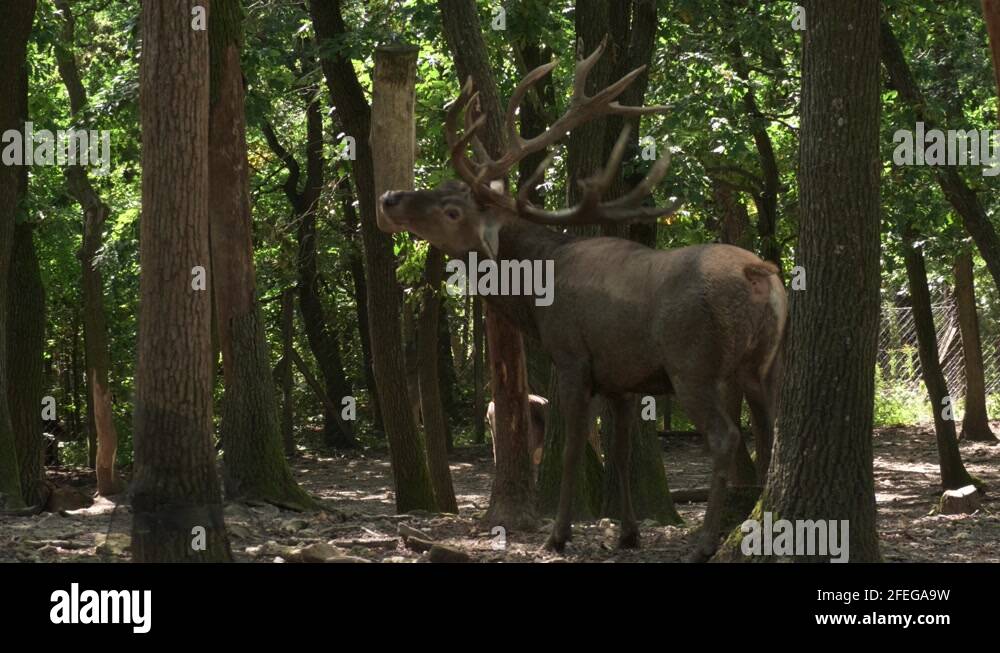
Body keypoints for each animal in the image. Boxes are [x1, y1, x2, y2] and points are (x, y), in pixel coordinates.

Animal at [378, 38, 787, 562]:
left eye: (452, 210)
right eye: (445, 186)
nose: (390, 197)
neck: (536, 293)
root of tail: (763, 275)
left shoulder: (572, 356)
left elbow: (573, 447)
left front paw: (558, 533)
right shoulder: (624, 379)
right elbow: (621, 452)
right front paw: (628, 532)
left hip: (694, 364)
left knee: (726, 437)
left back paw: (703, 543)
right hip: (763, 364)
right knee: (772, 433)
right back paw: (762, 526)